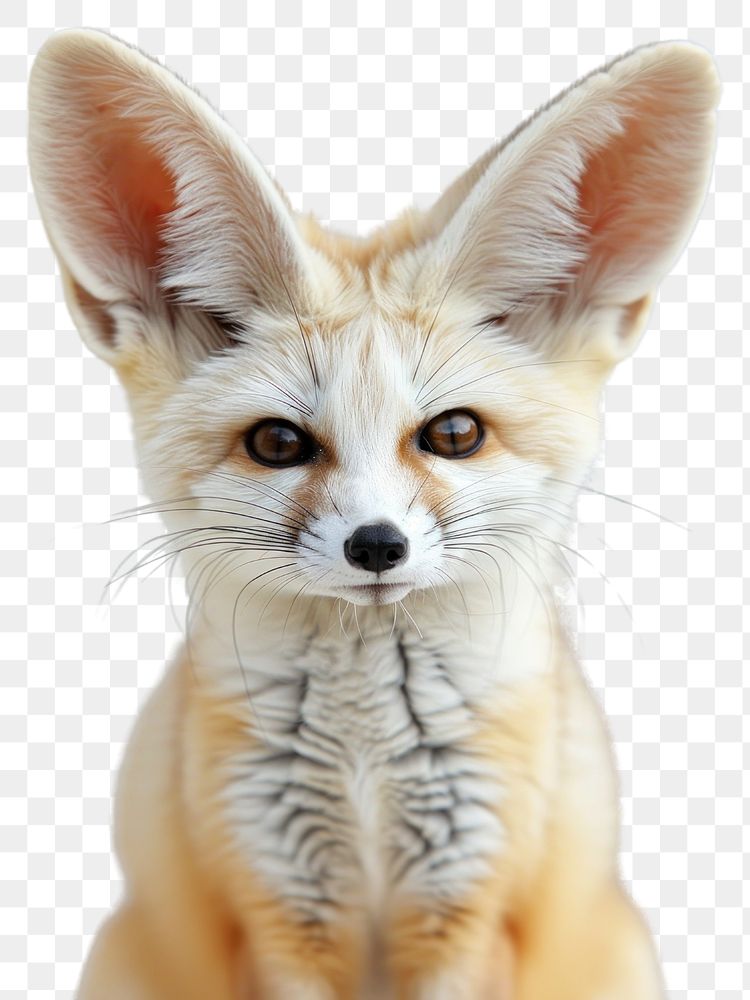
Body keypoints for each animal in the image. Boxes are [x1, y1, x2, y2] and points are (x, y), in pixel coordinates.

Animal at [28, 28, 719, 1000]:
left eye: (454, 434)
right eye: (278, 443)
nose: (377, 545)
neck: (368, 768)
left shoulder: (468, 902)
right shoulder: (277, 906)